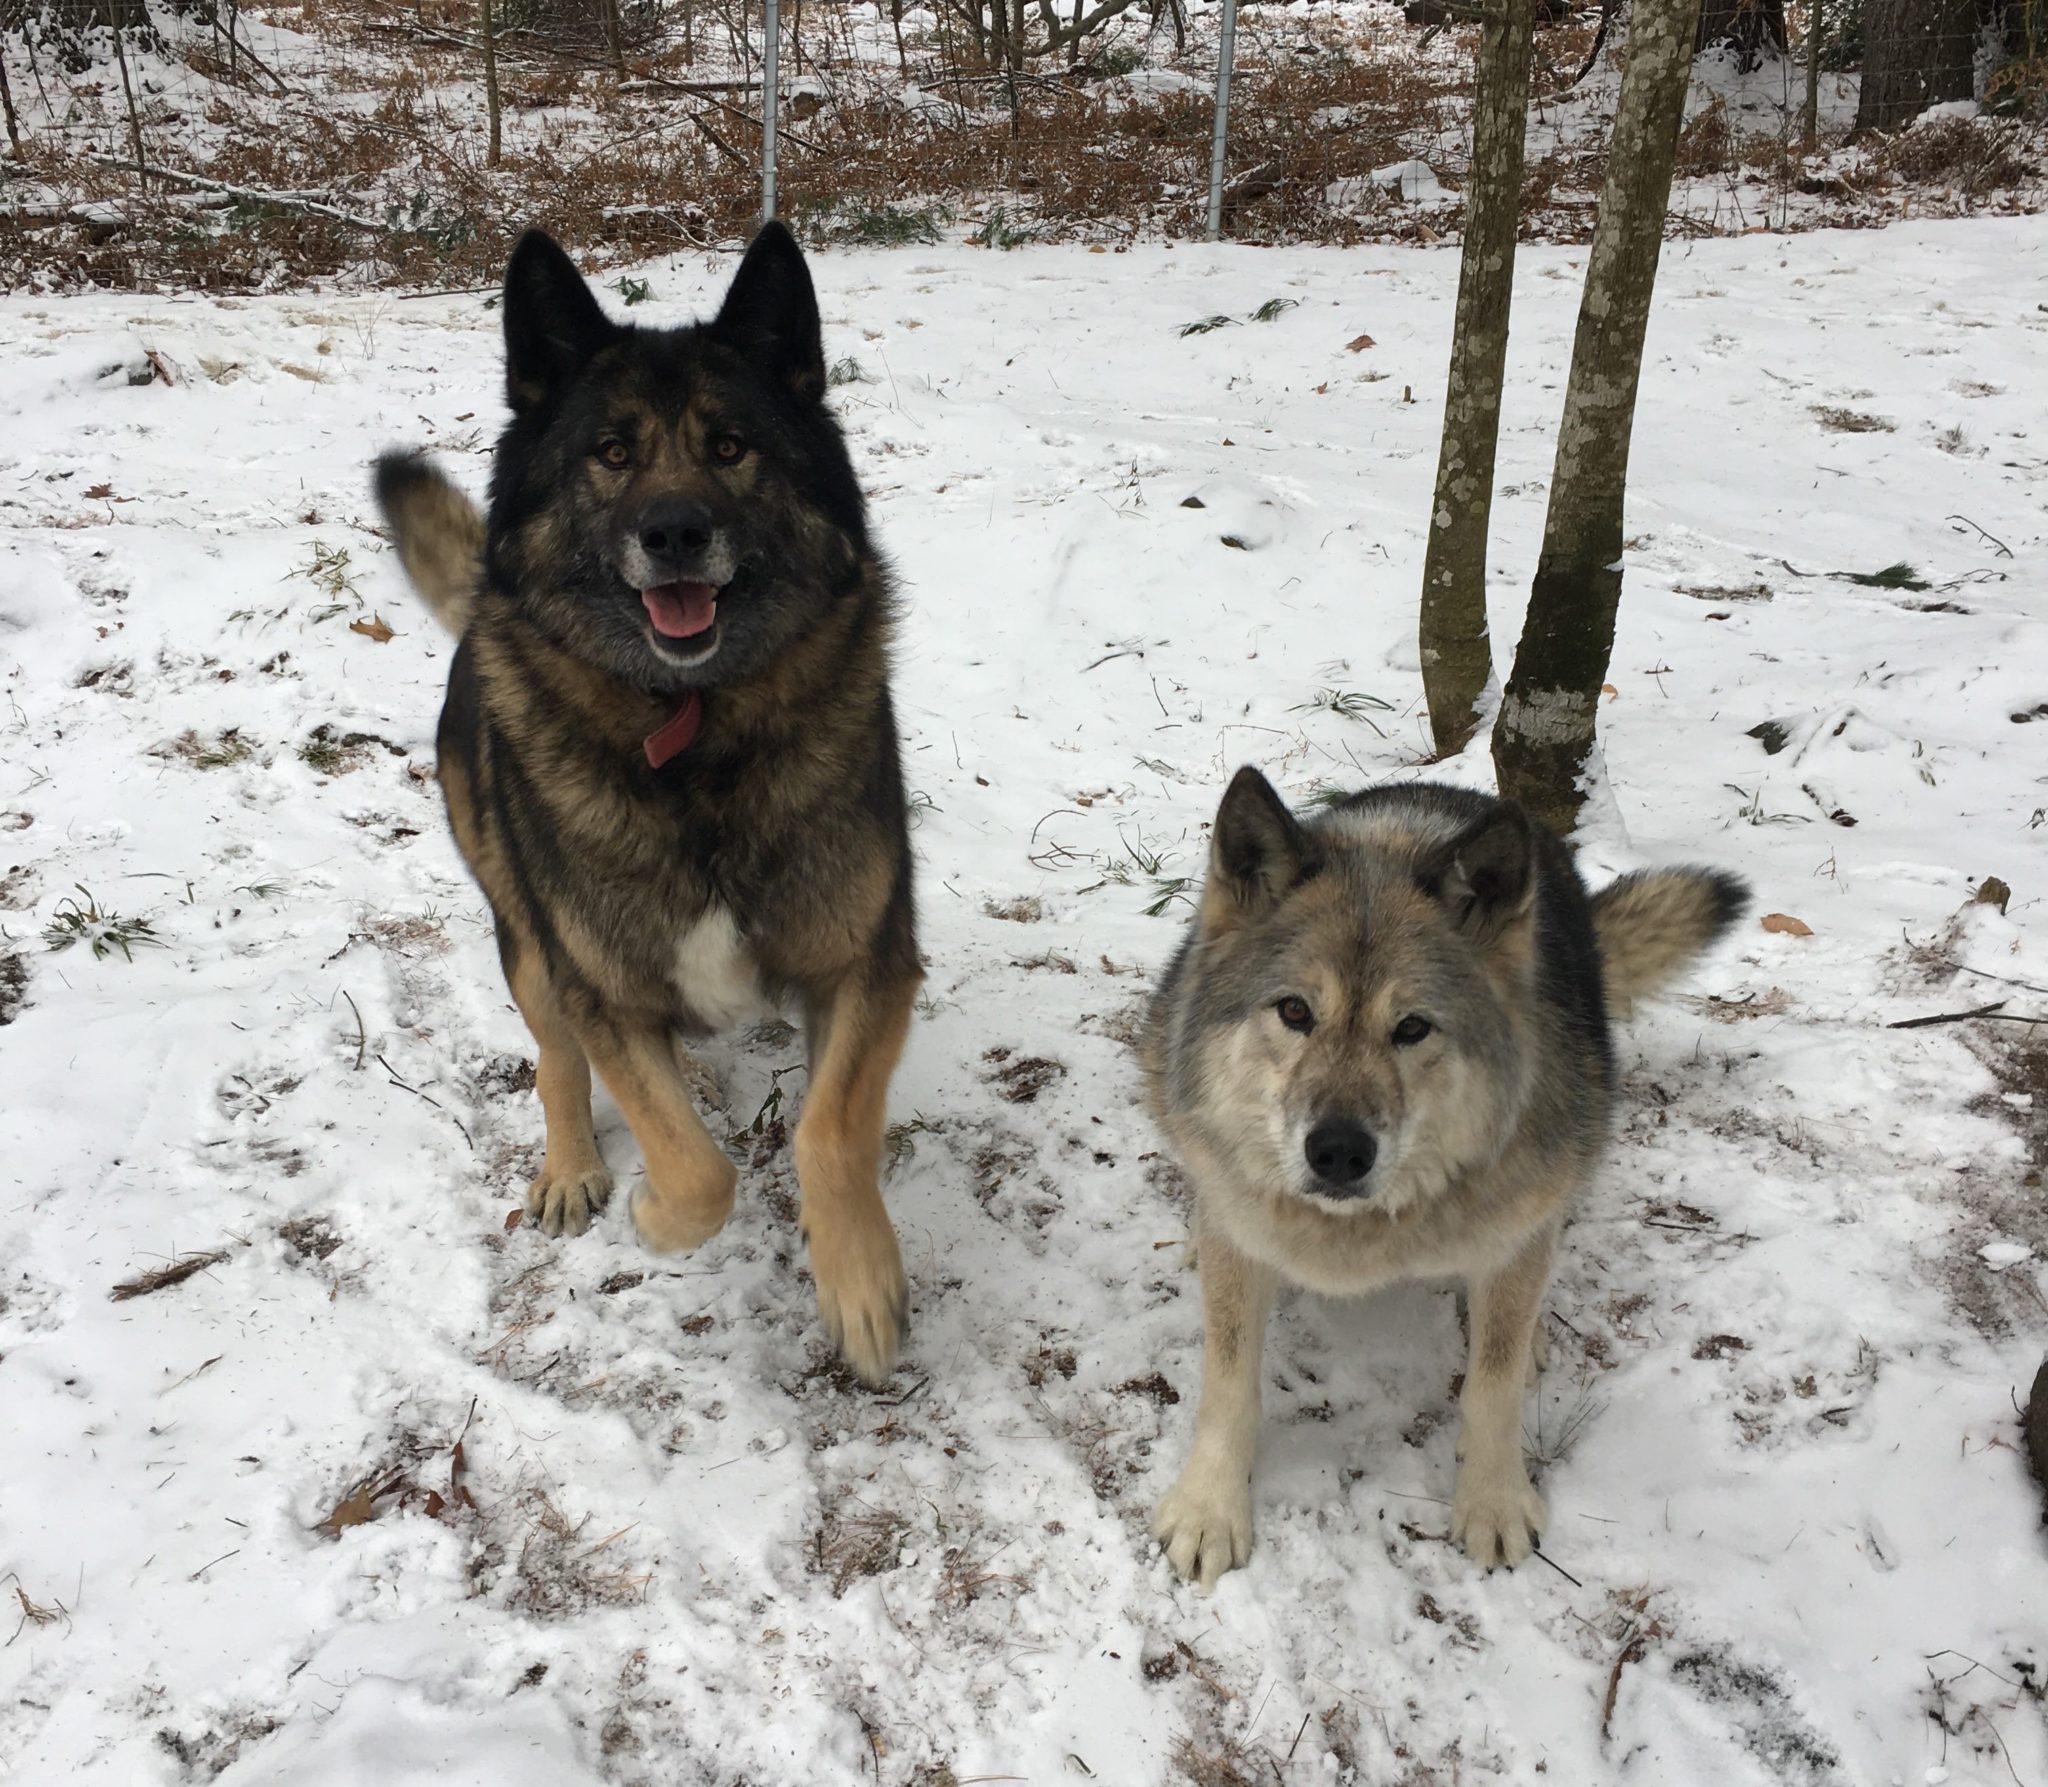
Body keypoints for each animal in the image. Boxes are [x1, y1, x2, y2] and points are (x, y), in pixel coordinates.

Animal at [373, 224, 918, 1384]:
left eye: (730, 446)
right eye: (612, 453)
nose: (674, 533)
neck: (690, 736)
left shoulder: (864, 961)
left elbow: (829, 1127)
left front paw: (856, 1275)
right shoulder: (604, 990)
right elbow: (692, 1163)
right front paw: (658, 1215)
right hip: (527, 938)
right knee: (553, 1058)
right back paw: (574, 1165)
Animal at [1145, 768, 1746, 1585]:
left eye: (1412, 1027)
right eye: (1295, 1011)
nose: (1339, 1152)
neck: (1363, 1233)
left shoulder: (1514, 1237)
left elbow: (1491, 1388)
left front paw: (1493, 1502)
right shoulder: (1240, 1243)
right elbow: (1228, 1378)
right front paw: (1210, 1506)